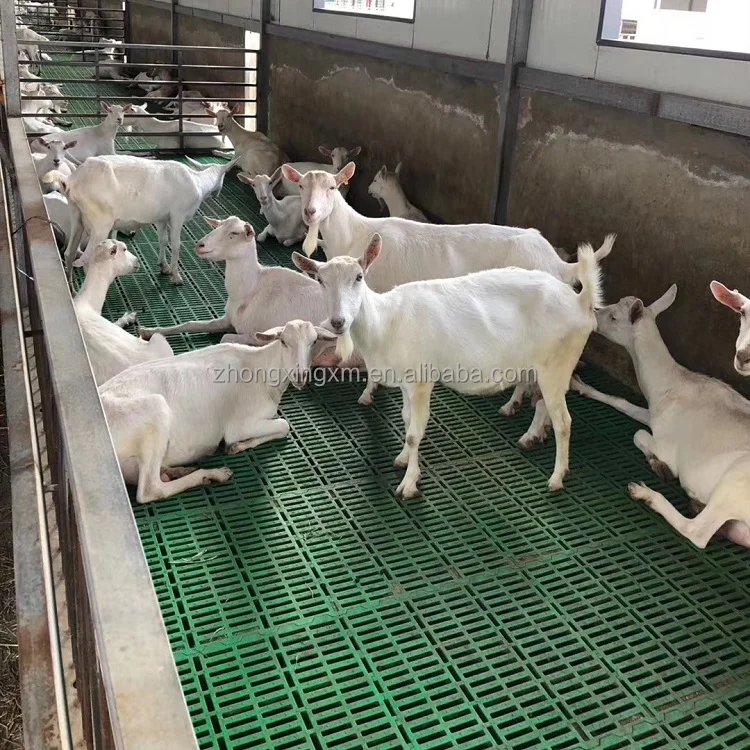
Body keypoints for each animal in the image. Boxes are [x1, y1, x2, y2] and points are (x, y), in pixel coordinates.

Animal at [51, 154, 238, 284]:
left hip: (76, 216)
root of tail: (71, 181)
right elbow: (176, 245)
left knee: (69, 253)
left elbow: (163, 240)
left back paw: (71, 287)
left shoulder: (162, 218)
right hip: (100, 224)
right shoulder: (177, 215)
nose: (217, 193)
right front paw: (176, 276)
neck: (197, 182)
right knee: (88, 258)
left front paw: (163, 267)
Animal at [100, 320, 335, 503]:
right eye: (284, 341)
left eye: (314, 342)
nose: (300, 375)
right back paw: (211, 474)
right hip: (154, 412)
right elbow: (284, 426)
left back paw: (178, 471)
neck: (262, 369)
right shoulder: (240, 424)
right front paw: (237, 446)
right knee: (150, 489)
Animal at [293, 233, 603, 498]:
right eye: (320, 280)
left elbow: (415, 433)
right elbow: (406, 421)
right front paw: (402, 460)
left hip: (558, 362)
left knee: (564, 421)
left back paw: (557, 477)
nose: (338, 321)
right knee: (543, 403)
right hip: (543, 364)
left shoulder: (421, 379)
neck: (387, 321)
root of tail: (581, 301)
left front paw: (408, 484)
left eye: (359, 277)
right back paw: (531, 435)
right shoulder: (405, 380)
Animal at [571, 286, 750, 549]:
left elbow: (639, 435)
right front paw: (580, 385)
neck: (669, 384)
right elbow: (623, 403)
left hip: (736, 481)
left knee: (697, 532)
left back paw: (647, 494)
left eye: (614, 317)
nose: (592, 311)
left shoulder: (667, 443)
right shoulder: (655, 414)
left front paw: (660, 465)